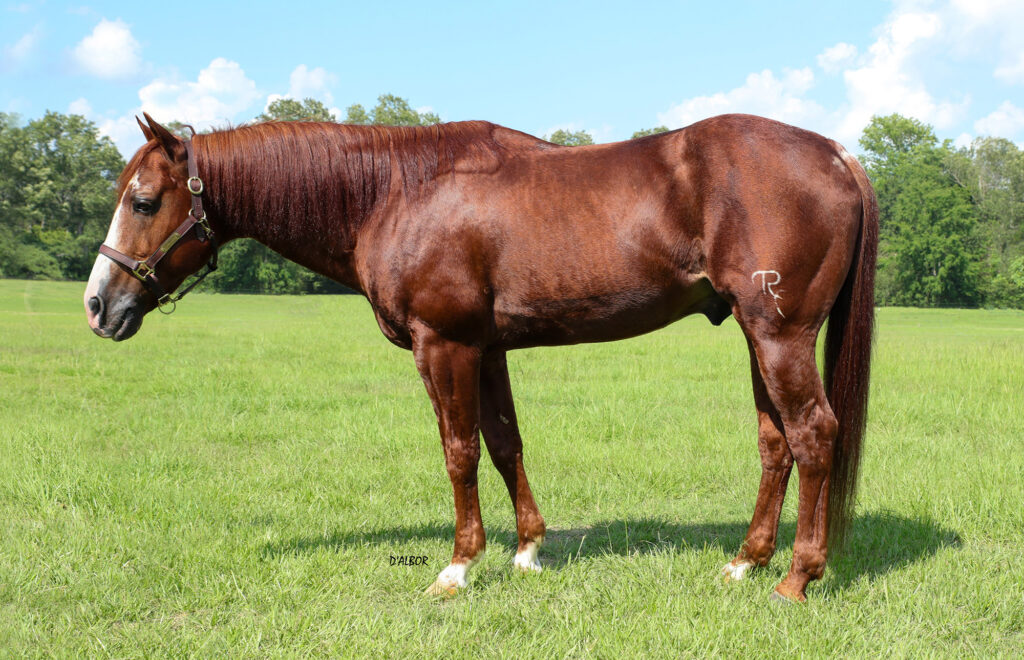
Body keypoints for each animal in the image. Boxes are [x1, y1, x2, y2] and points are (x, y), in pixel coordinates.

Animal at [84, 113, 876, 602]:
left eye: (145, 201)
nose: (97, 306)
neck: (393, 193)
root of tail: (835, 153)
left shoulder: (445, 345)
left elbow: (459, 450)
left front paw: (460, 565)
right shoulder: (489, 348)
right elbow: (504, 444)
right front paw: (527, 550)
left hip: (779, 336)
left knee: (813, 435)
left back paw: (797, 579)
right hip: (755, 335)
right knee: (776, 443)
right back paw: (745, 562)